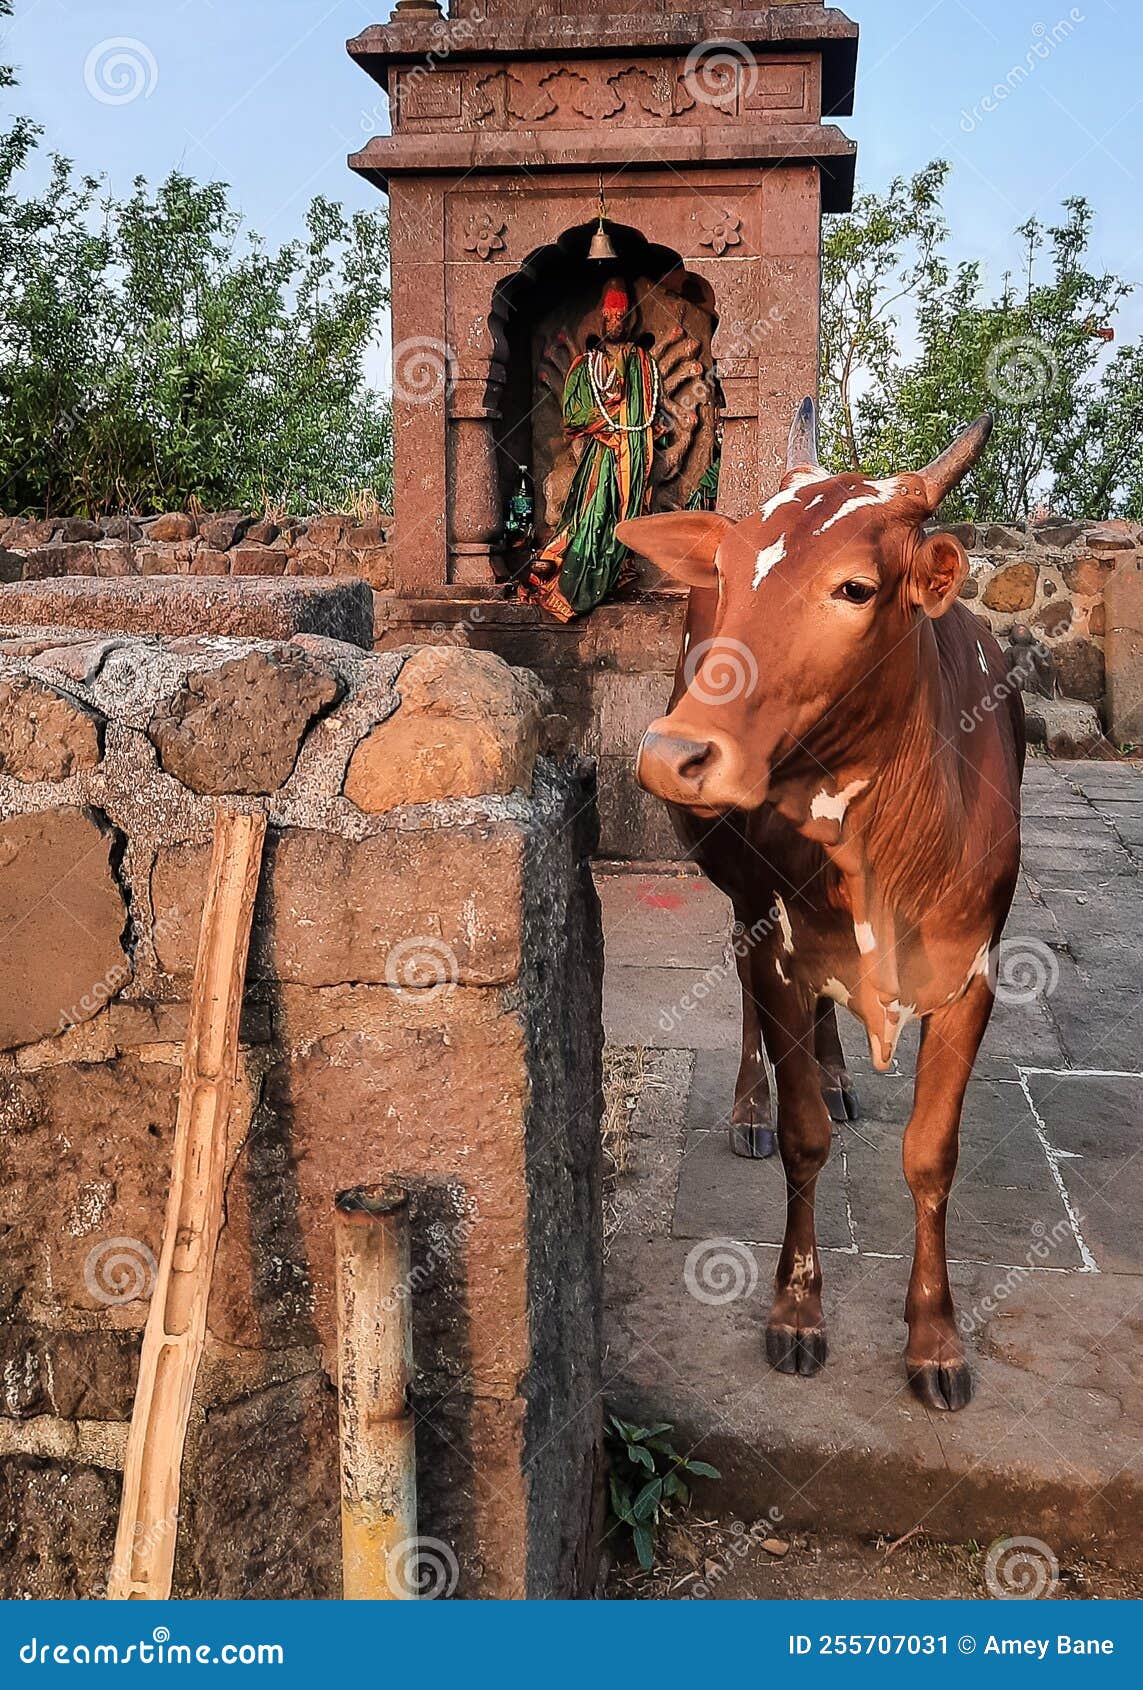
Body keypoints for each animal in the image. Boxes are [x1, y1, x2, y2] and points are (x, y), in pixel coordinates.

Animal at [615, 400, 1023, 1411]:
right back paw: (749, 1105)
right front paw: (796, 1312)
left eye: (854, 588)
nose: (674, 754)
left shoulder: (975, 973)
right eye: (725, 570)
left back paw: (840, 1073)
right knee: (748, 1003)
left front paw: (934, 1341)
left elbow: (931, 1153)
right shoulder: (774, 941)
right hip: (738, 899)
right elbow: (803, 1140)